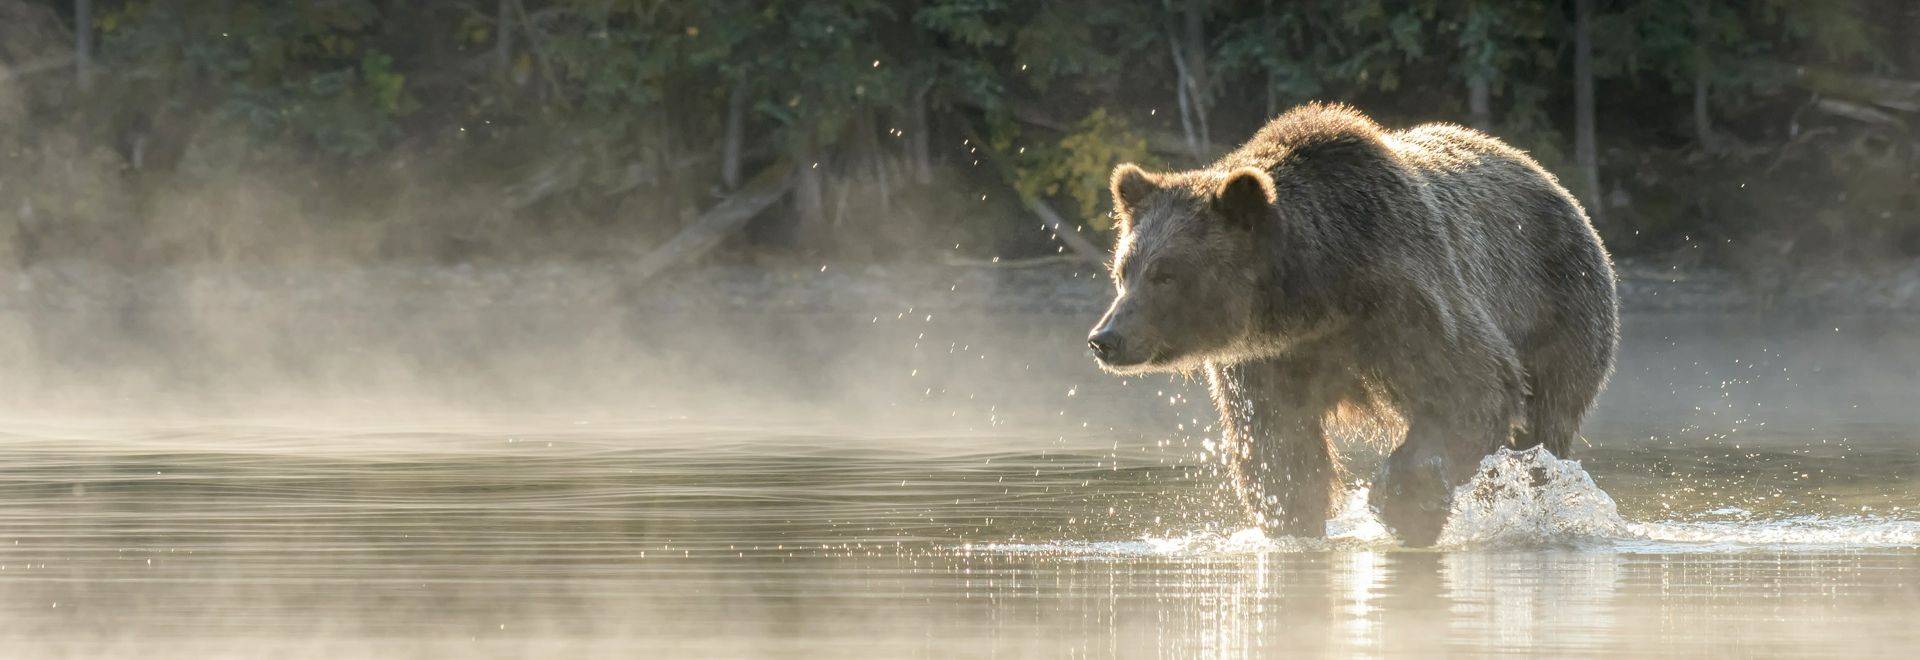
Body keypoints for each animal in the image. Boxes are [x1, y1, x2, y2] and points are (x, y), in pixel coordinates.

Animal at [1086, 103, 1617, 546]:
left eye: (1165, 274)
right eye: (1123, 270)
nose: (1105, 339)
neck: (1316, 295)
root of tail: (1556, 185)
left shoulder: (1406, 298)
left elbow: (1471, 384)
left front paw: (1404, 503)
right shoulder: (1266, 359)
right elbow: (1279, 446)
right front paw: (1296, 518)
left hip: (1563, 309)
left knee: (1543, 427)